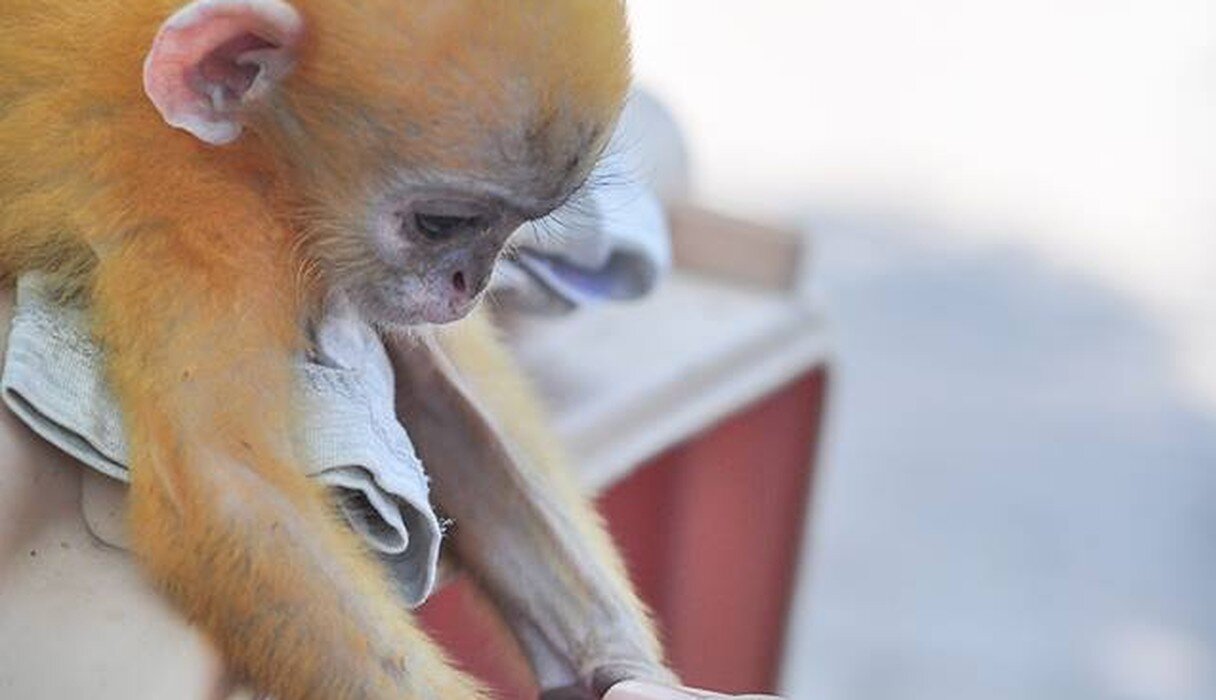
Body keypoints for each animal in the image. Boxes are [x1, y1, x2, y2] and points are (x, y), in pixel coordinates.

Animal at [0, 0, 683, 698]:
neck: (250, 156)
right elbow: (230, 485)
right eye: (440, 223)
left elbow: (432, 395)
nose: (470, 283)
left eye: (512, 228)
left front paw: (629, 668)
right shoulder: (197, 216)